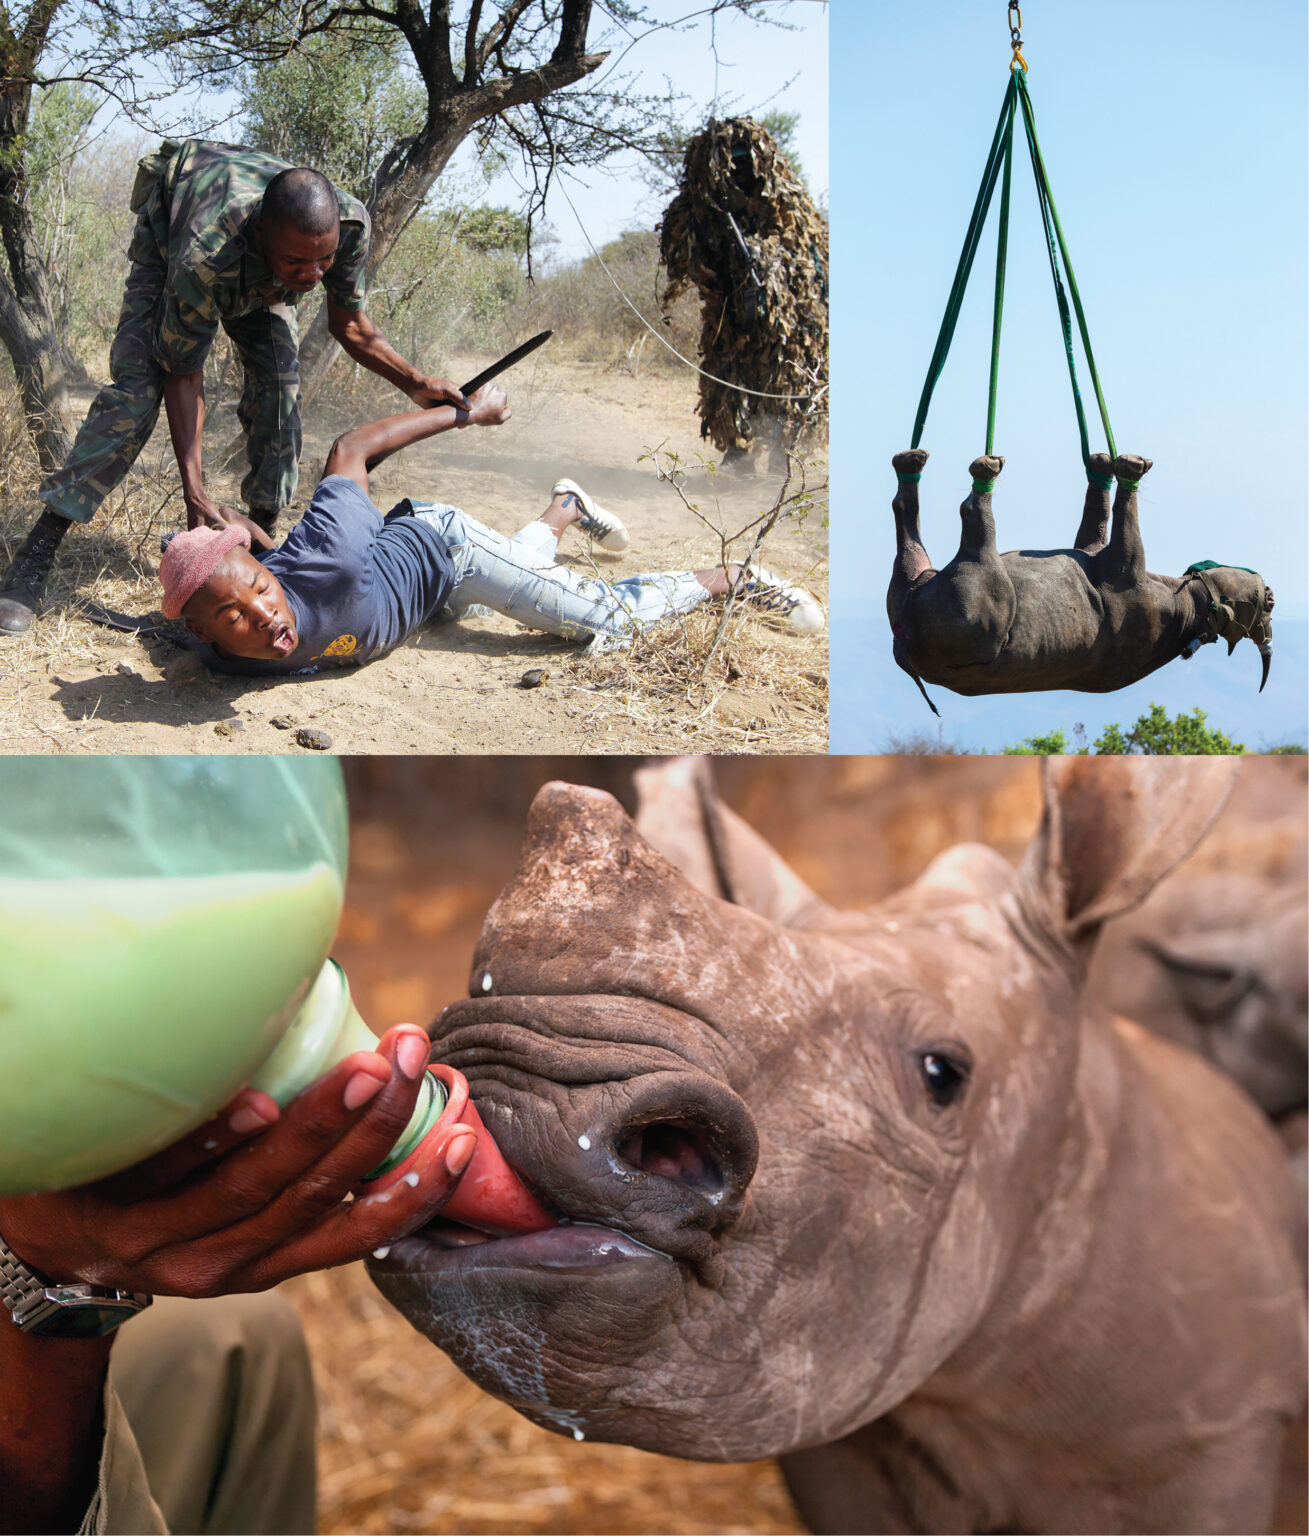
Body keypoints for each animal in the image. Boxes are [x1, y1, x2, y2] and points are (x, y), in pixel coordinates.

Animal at [887, 450, 1274, 711]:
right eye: (1267, 603)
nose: (1269, 591)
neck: (1188, 607)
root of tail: (904, 639)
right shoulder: (1101, 555)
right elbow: (1096, 521)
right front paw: (1103, 465)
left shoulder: (1128, 576)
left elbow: (1125, 531)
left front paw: (1127, 470)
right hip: (913, 590)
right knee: (910, 538)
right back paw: (910, 467)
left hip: (972, 604)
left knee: (973, 529)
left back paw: (978, 475)